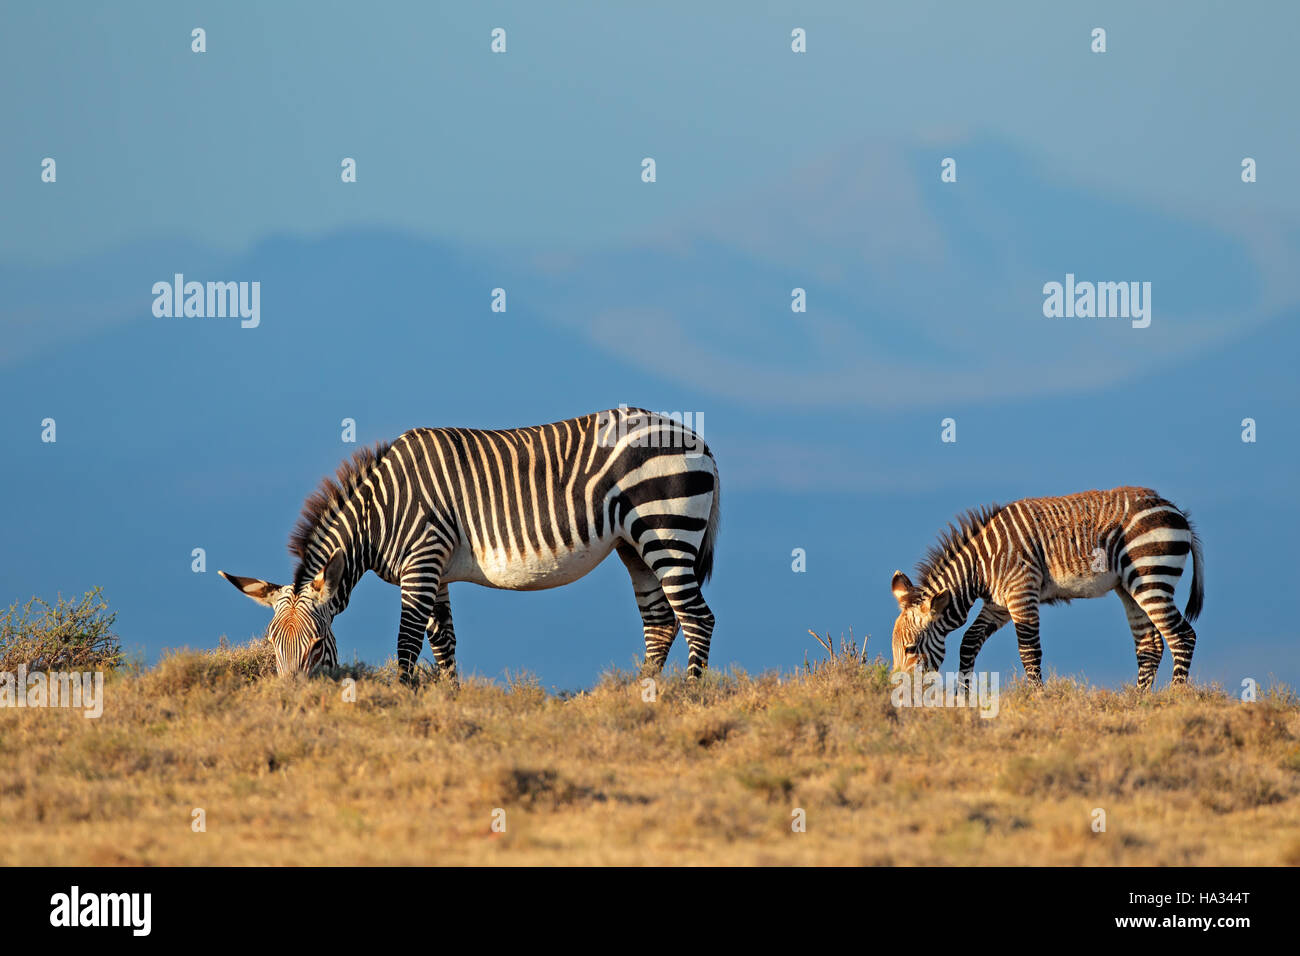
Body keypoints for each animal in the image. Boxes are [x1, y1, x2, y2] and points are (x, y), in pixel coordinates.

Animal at [219, 408, 720, 682]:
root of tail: (695, 437)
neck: (381, 514)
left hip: (667, 532)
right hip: (634, 547)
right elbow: (444, 643)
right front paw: (448, 700)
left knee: (698, 619)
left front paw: (404, 699)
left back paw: (688, 699)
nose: (292, 701)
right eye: (271, 643)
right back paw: (642, 695)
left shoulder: (421, 562)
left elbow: (407, 642)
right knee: (661, 623)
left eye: (319, 643)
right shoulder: (434, 571)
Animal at [889, 486, 1204, 688]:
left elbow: (1029, 651)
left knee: (1182, 636)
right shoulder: (999, 604)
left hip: (1151, 577)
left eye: (910, 648)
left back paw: (1174, 699)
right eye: (895, 650)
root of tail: (1177, 510)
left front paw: (1037, 698)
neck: (981, 565)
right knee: (1150, 645)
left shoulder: (1021, 593)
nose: (896, 692)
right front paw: (963, 699)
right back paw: (1138, 702)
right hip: (1130, 588)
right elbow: (969, 642)